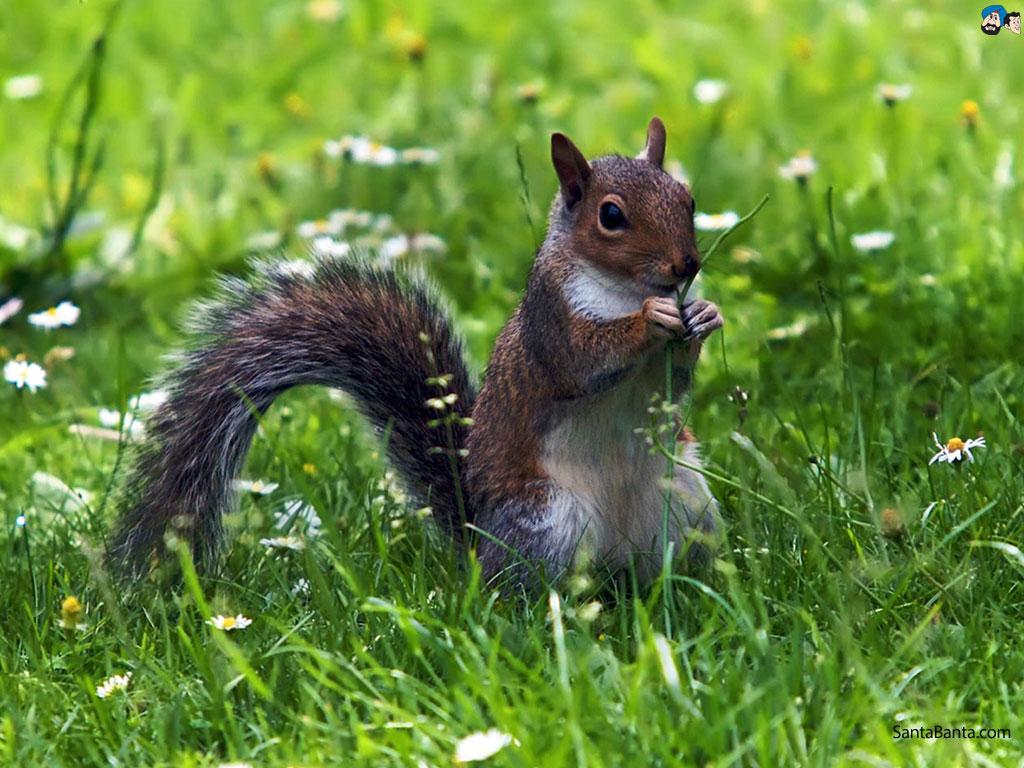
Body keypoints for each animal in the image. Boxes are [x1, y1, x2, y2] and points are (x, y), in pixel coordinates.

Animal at [109, 117, 723, 589]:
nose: (686, 265)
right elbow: (582, 360)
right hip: (547, 522)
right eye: (611, 216)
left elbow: (674, 385)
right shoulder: (550, 322)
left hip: (686, 501)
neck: (624, 289)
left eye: (689, 198)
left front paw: (703, 315)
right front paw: (652, 320)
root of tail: (478, 539)